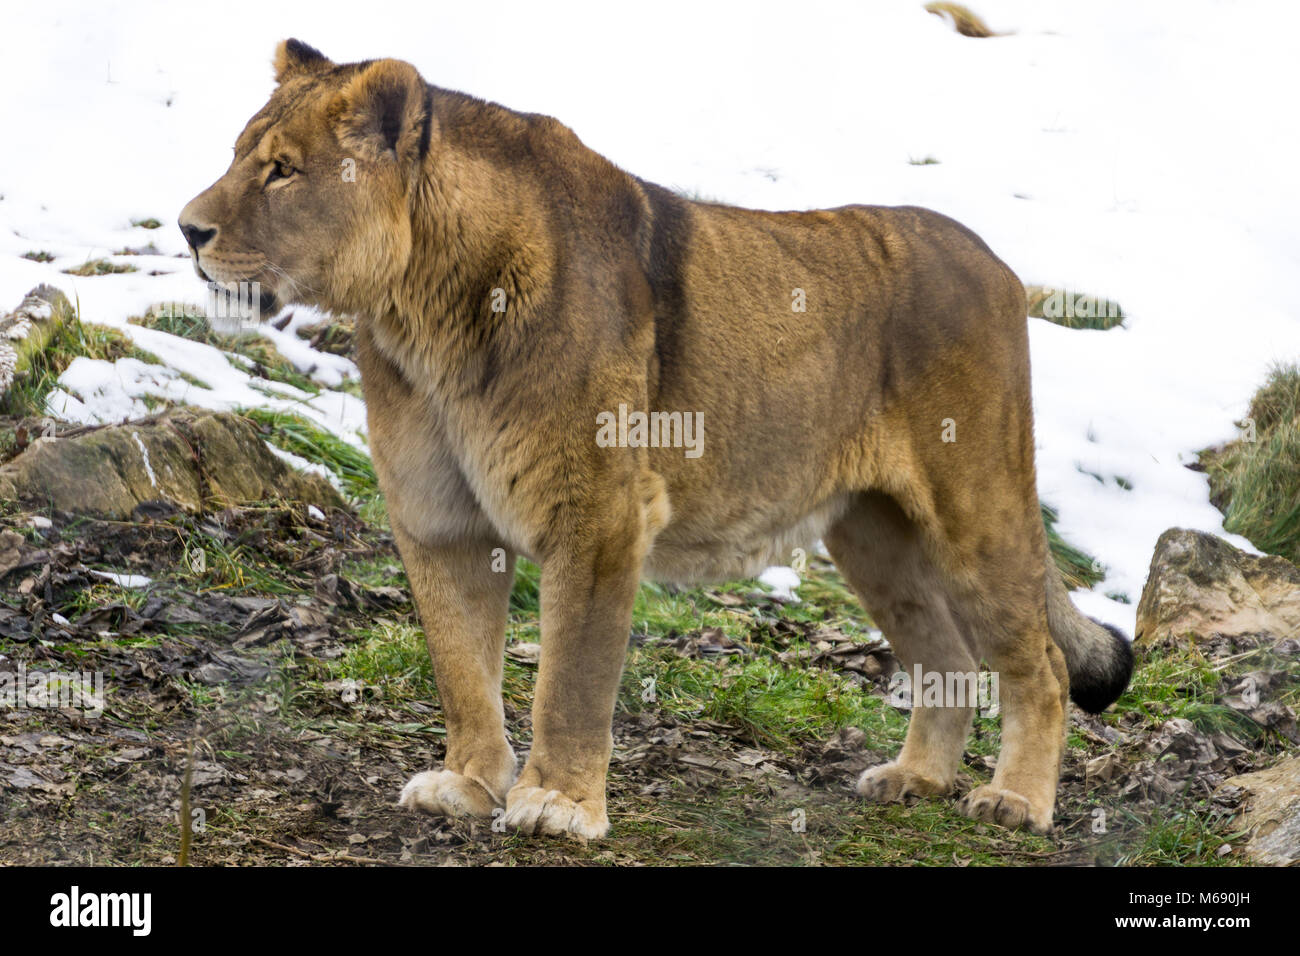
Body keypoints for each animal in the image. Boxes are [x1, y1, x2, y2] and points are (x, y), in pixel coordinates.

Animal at [179, 39, 1133, 840]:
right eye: (239, 155)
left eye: (282, 172)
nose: (188, 229)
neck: (421, 315)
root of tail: (995, 262)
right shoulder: (438, 520)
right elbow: (461, 668)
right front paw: (469, 785)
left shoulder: (598, 515)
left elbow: (570, 680)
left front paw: (557, 805)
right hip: (872, 533)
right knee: (947, 655)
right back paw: (916, 779)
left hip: (975, 507)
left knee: (1043, 664)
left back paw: (1015, 802)